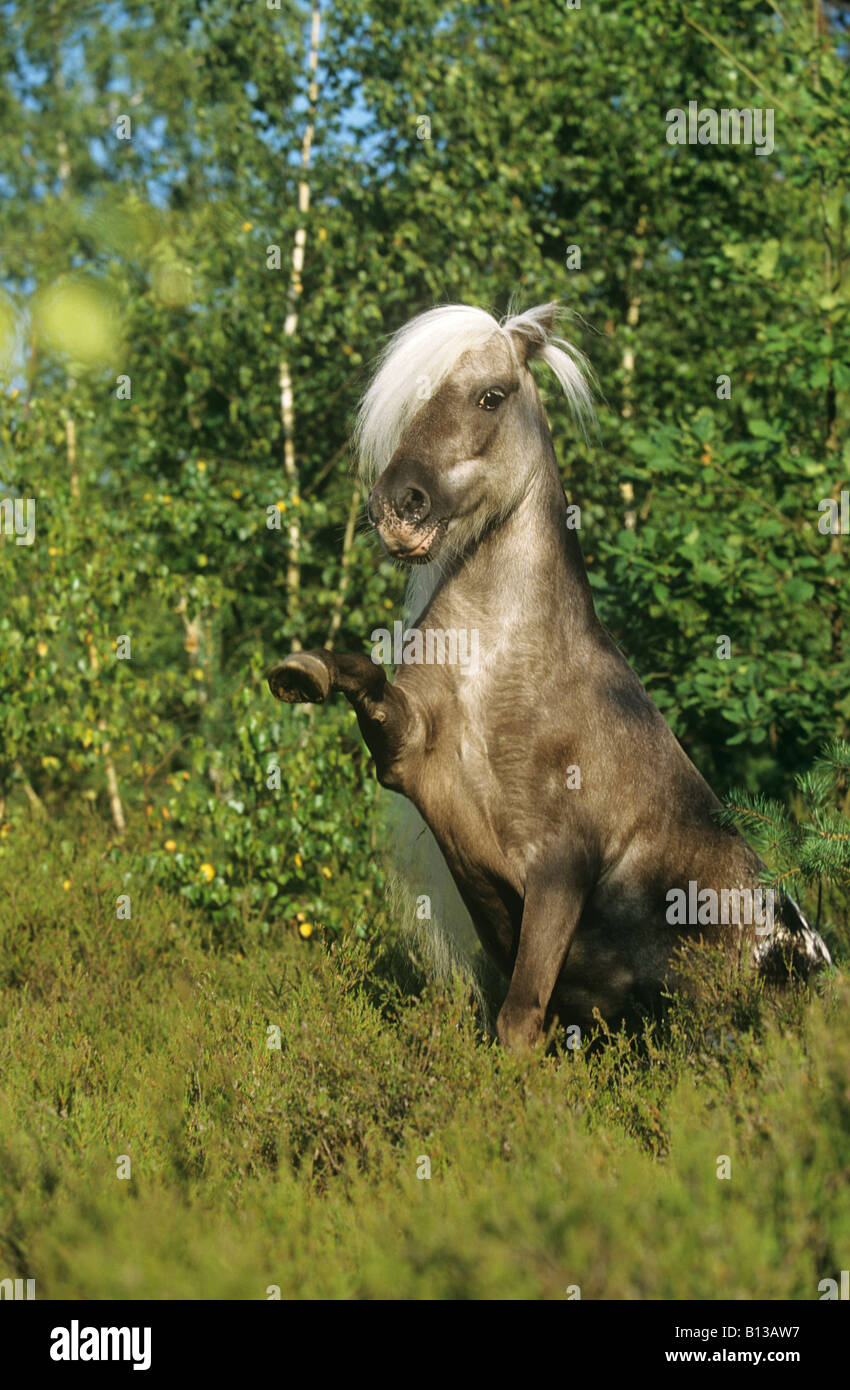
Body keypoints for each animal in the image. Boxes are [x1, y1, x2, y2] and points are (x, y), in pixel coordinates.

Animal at [268, 301, 831, 1051]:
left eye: (491, 396)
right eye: (414, 399)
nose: (396, 507)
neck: (503, 674)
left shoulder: (559, 872)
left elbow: (518, 1021)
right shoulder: (412, 760)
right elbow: (362, 675)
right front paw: (300, 673)